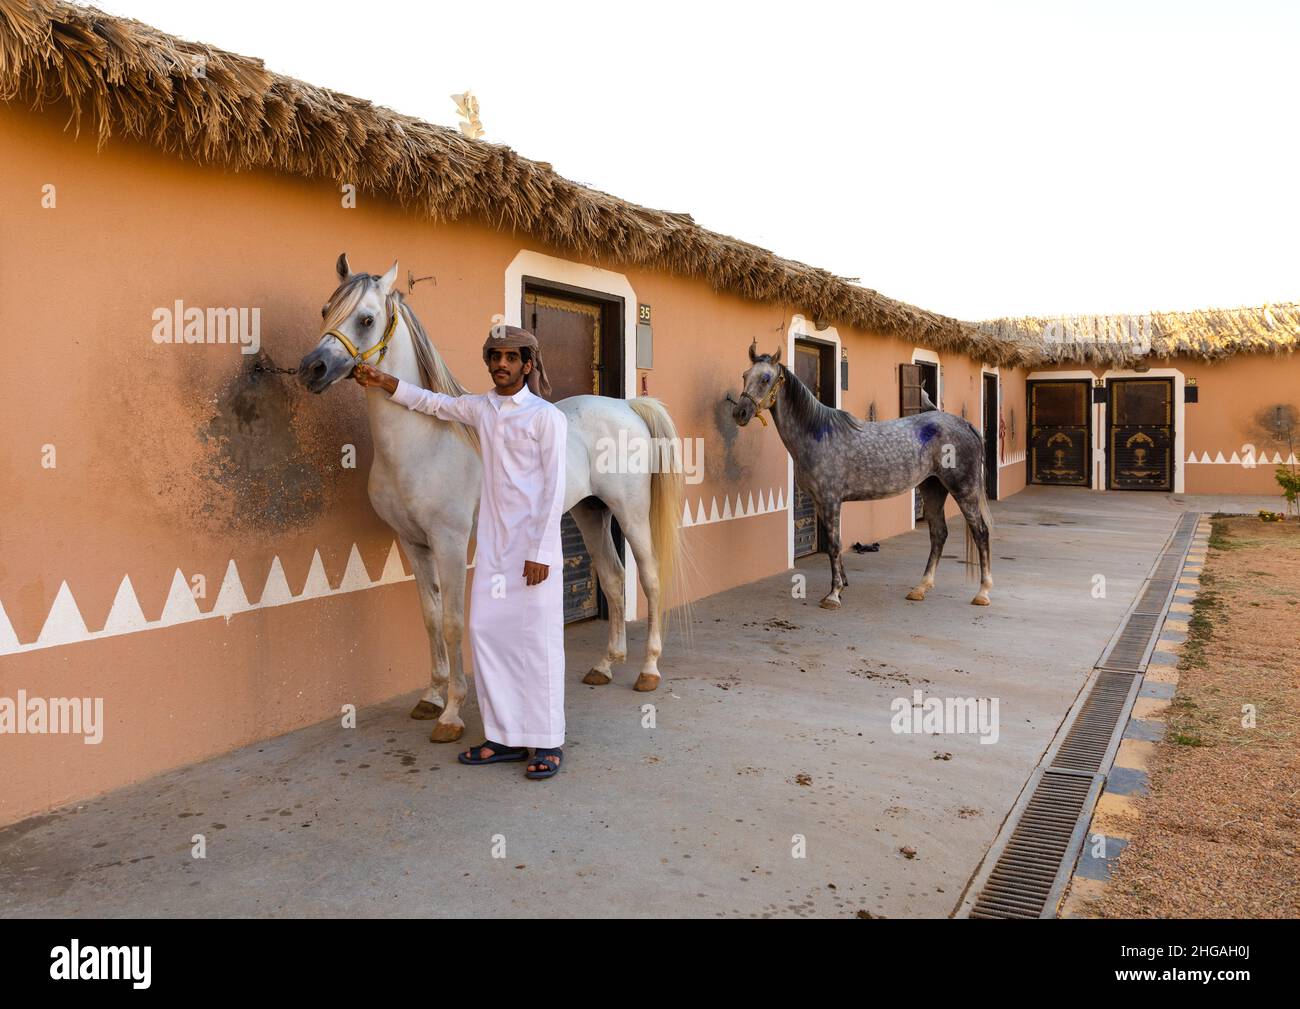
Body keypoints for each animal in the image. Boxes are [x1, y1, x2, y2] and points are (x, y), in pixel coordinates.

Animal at [297, 254, 686, 743]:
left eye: (366, 319)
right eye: (325, 309)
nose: (311, 368)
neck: (421, 441)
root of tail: (628, 406)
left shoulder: (448, 541)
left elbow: (451, 622)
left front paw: (451, 712)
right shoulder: (413, 543)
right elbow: (430, 617)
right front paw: (431, 696)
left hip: (629, 513)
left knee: (649, 579)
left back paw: (648, 670)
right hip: (589, 512)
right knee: (614, 578)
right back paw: (604, 665)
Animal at [730, 342, 992, 609]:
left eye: (765, 378)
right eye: (744, 375)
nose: (740, 412)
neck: (818, 434)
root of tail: (965, 425)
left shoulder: (830, 500)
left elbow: (834, 544)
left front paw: (833, 594)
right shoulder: (820, 501)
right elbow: (834, 542)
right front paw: (842, 584)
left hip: (964, 489)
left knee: (980, 532)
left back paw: (982, 593)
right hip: (932, 488)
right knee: (939, 533)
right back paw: (921, 588)